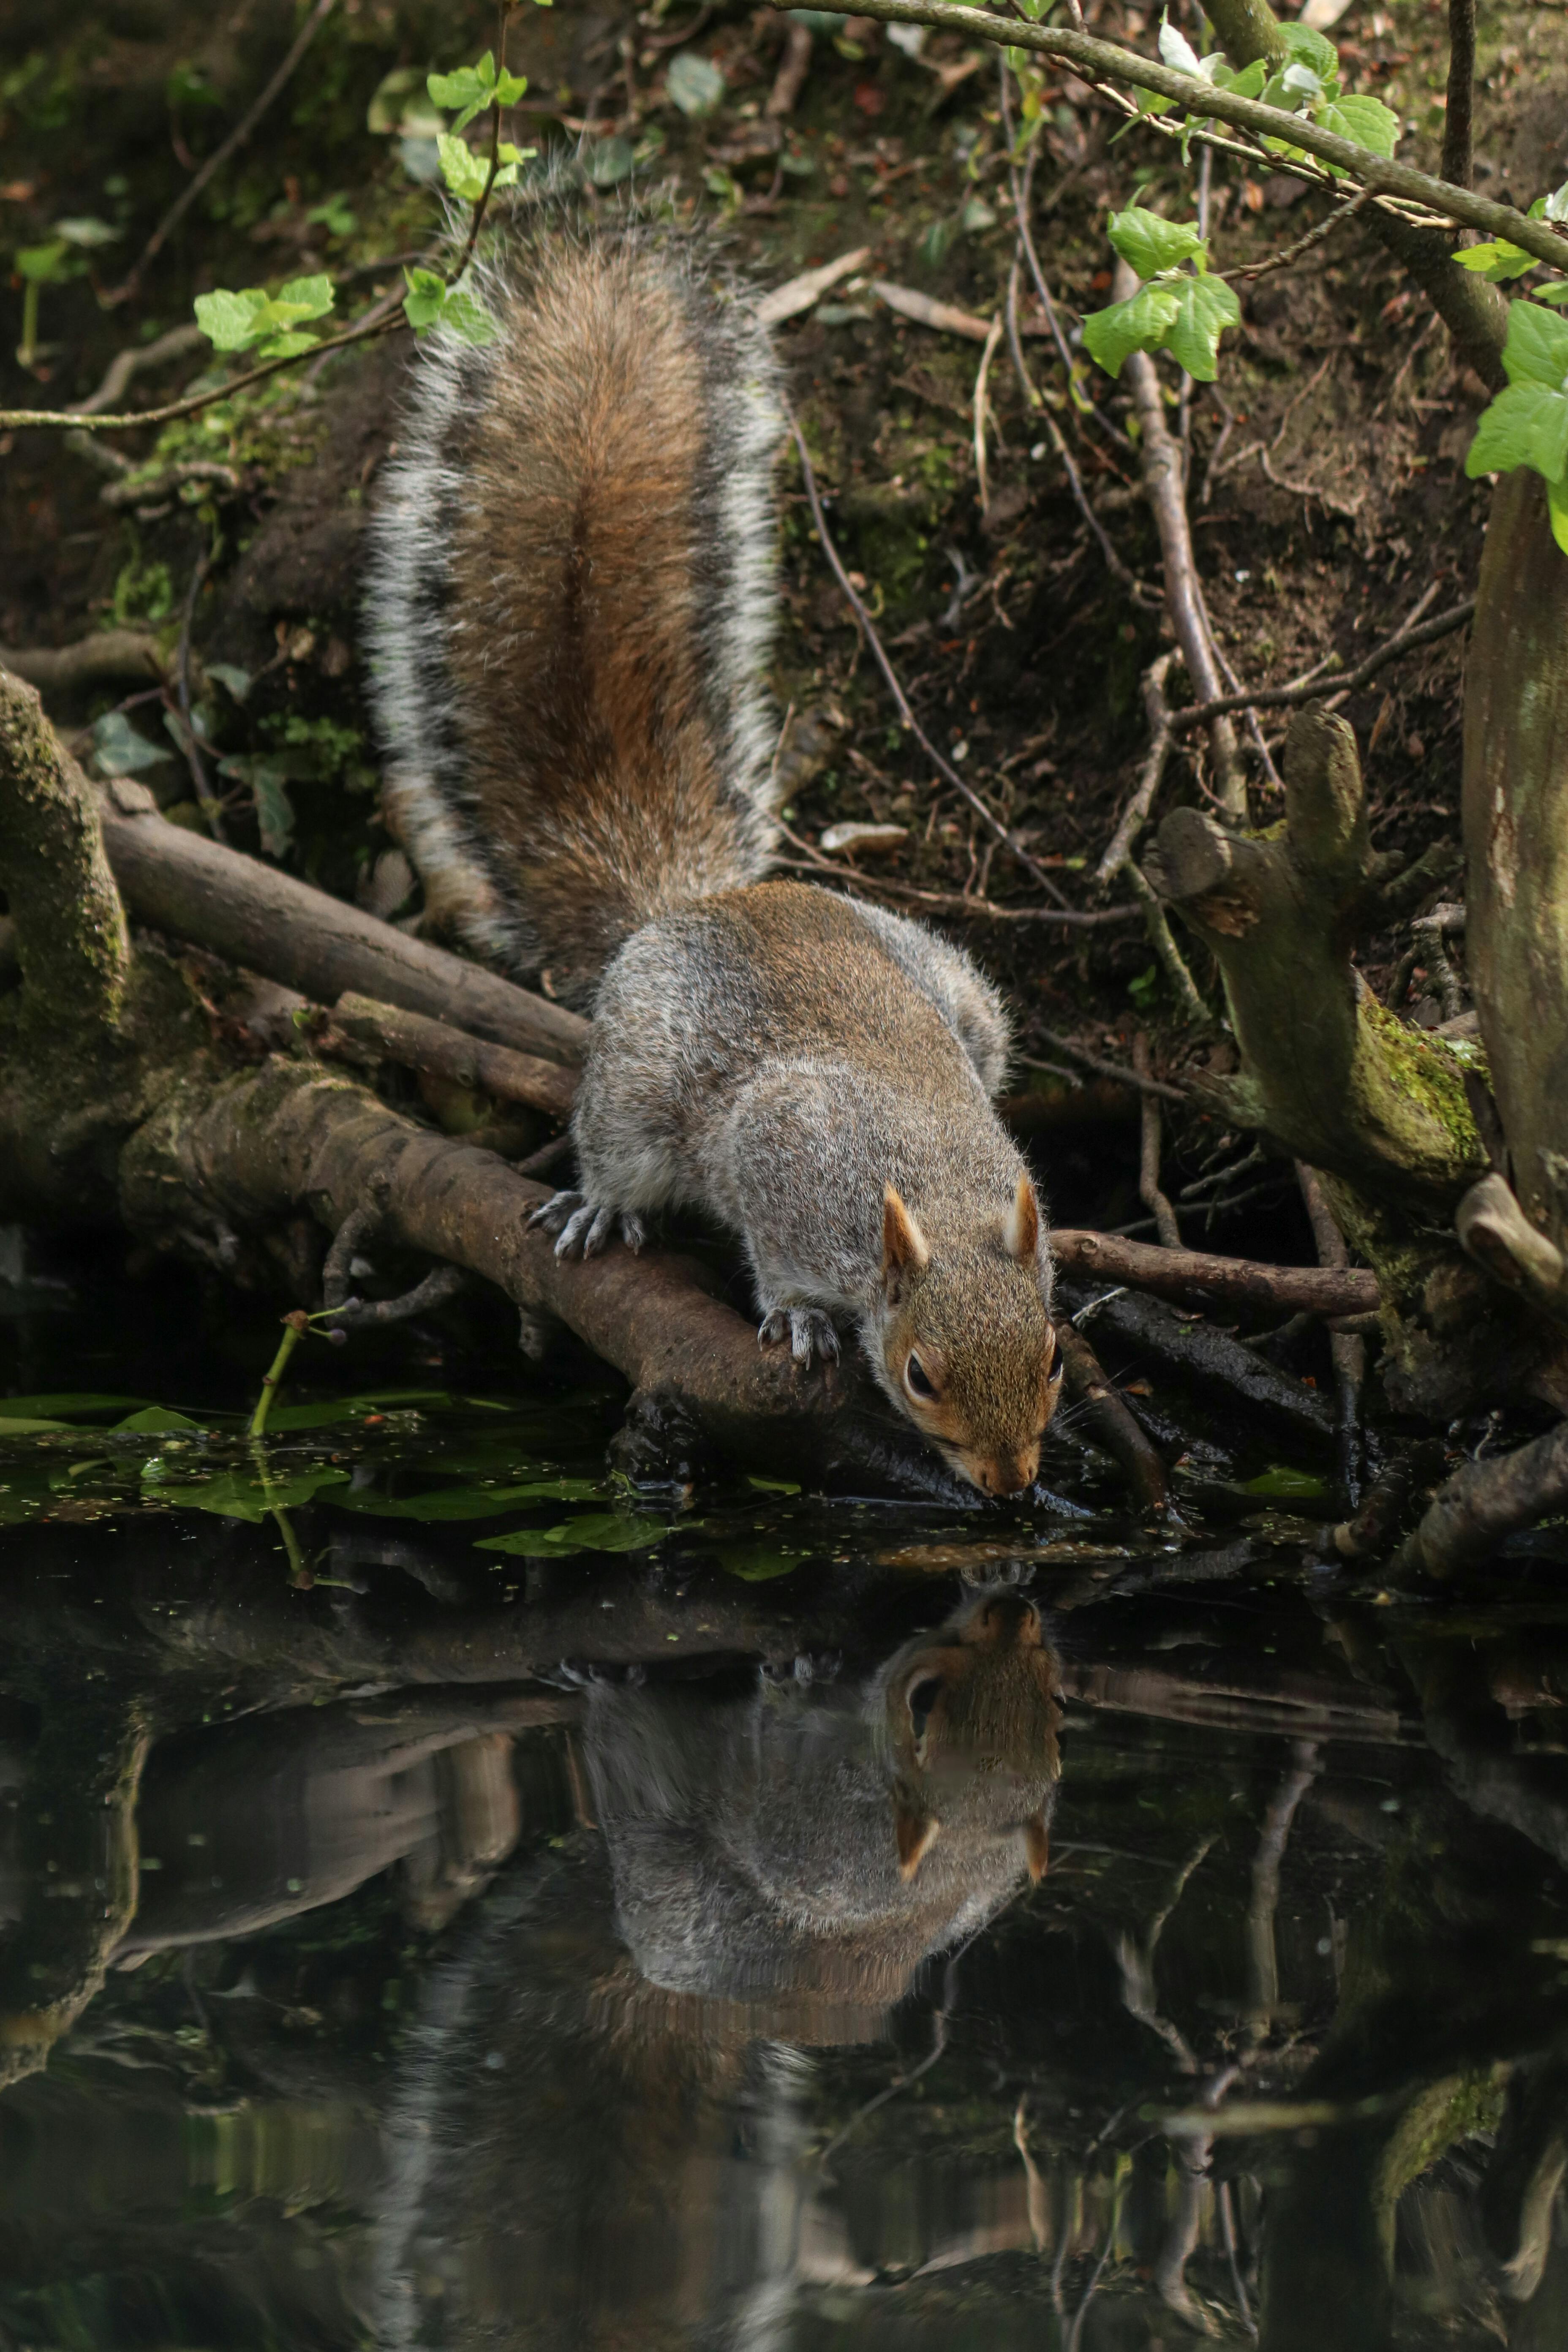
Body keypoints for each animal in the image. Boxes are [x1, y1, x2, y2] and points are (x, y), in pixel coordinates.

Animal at [363, 214, 1061, 1496]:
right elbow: (778, 1256)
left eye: (1053, 1354)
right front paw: (797, 1318)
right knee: (615, 1146)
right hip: (641, 1084)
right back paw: (602, 1211)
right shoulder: (777, 1154)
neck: (935, 1190)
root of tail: (709, 901)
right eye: (921, 1374)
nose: (1012, 1485)